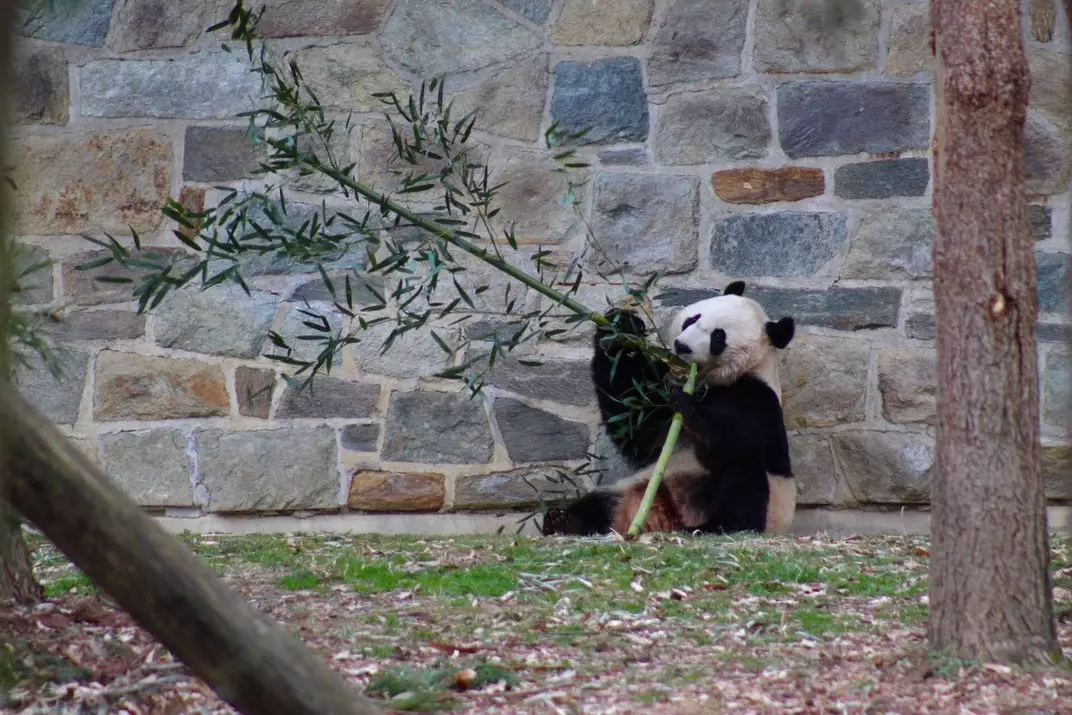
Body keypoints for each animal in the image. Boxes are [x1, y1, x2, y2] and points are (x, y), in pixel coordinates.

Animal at [544, 278, 797, 535]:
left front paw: (687, 406)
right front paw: (621, 328)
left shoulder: (757, 398)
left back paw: (718, 526)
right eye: (693, 319)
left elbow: (736, 439)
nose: (682, 346)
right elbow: (633, 417)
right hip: (629, 490)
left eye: (718, 337)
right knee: (598, 505)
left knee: (743, 476)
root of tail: (667, 516)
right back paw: (563, 521)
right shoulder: (662, 390)